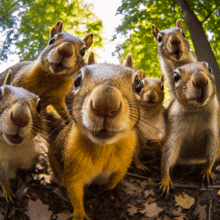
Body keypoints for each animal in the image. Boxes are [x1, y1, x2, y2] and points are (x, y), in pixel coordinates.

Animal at [0, 69, 42, 202]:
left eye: (39, 106)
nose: (20, 118)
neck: (13, 148)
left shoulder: (30, 156)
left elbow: (29, 167)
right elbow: (2, 178)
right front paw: (8, 191)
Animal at [48, 54, 144, 219]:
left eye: (138, 84)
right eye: (77, 79)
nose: (105, 104)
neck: (103, 148)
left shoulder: (122, 165)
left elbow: (113, 181)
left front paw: (106, 190)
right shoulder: (72, 168)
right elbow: (73, 191)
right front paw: (80, 214)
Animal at [159, 62, 219, 196]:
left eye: (210, 68)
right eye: (175, 76)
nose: (200, 80)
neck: (195, 110)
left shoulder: (213, 127)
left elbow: (212, 149)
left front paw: (207, 171)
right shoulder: (174, 129)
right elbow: (168, 151)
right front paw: (165, 179)